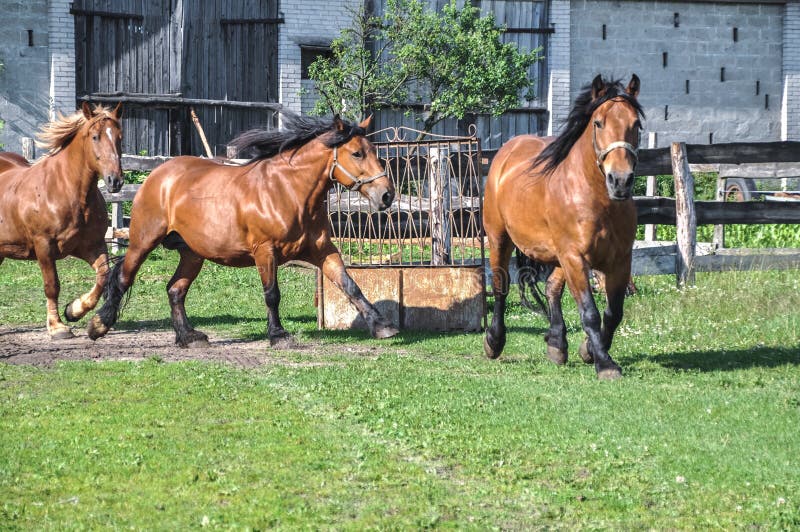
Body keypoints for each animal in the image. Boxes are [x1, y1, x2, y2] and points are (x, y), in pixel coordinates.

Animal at [0, 102, 123, 339]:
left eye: (119, 137)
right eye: (95, 137)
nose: (115, 181)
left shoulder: (91, 245)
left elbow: (103, 276)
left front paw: (74, 310)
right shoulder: (44, 247)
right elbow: (52, 285)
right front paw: (57, 326)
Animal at [87, 112, 399, 347]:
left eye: (374, 152)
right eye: (357, 153)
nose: (387, 195)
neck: (287, 191)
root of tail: (158, 175)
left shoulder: (323, 250)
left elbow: (350, 285)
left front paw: (382, 325)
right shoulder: (265, 251)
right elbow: (272, 294)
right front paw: (278, 335)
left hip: (192, 253)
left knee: (175, 290)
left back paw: (189, 336)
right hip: (144, 241)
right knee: (123, 278)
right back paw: (98, 325)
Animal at [483, 74, 643, 380]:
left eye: (636, 125)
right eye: (598, 123)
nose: (620, 180)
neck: (597, 199)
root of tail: (507, 151)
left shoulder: (620, 260)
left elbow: (613, 313)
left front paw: (589, 350)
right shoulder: (575, 258)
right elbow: (590, 312)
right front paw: (605, 364)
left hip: (558, 256)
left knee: (551, 289)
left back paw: (557, 343)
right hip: (500, 238)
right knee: (500, 287)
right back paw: (494, 342)